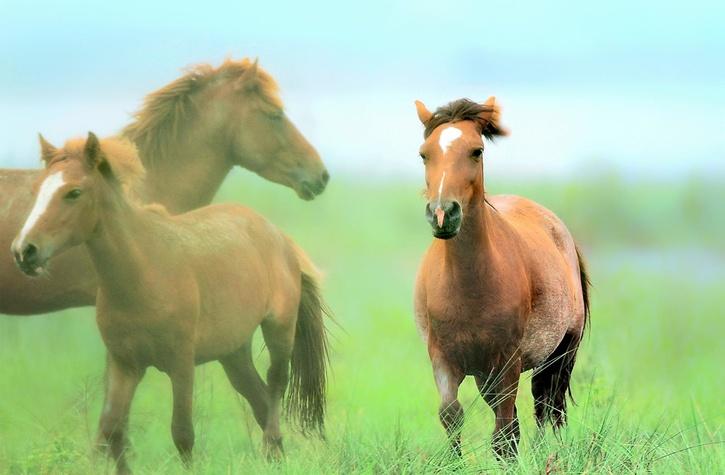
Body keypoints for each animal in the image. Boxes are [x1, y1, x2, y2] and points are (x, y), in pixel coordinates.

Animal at [11, 133, 329, 474]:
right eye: (37, 191)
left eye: (74, 192)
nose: (24, 251)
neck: (144, 272)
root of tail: (279, 237)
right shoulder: (125, 365)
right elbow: (113, 432)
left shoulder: (181, 363)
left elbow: (182, 434)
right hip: (232, 351)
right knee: (258, 397)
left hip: (278, 329)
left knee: (275, 385)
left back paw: (271, 445)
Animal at [412, 98, 590, 459]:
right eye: (424, 153)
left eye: (477, 151)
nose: (443, 214)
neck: (469, 286)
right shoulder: (443, 358)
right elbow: (451, 415)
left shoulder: (507, 360)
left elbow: (504, 431)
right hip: (485, 374)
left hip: (558, 355)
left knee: (547, 407)